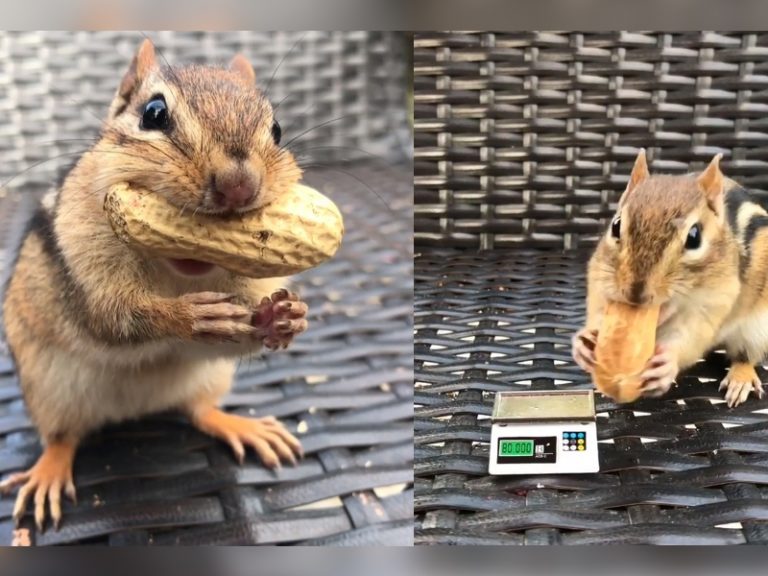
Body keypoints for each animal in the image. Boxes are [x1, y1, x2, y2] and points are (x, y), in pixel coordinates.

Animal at [0, 40, 309, 531]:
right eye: (154, 113)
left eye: (277, 129)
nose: (239, 186)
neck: (177, 275)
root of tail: (135, 409)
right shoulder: (84, 269)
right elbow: (113, 318)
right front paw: (188, 316)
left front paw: (282, 317)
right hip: (49, 390)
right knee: (62, 438)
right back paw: (47, 472)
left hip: (209, 379)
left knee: (199, 411)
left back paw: (240, 425)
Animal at [573, 149, 768, 408]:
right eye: (616, 225)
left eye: (694, 237)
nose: (635, 294)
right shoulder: (599, 278)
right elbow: (597, 310)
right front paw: (582, 342)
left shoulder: (713, 302)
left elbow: (691, 336)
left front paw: (667, 366)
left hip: (758, 328)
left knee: (746, 356)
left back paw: (740, 379)